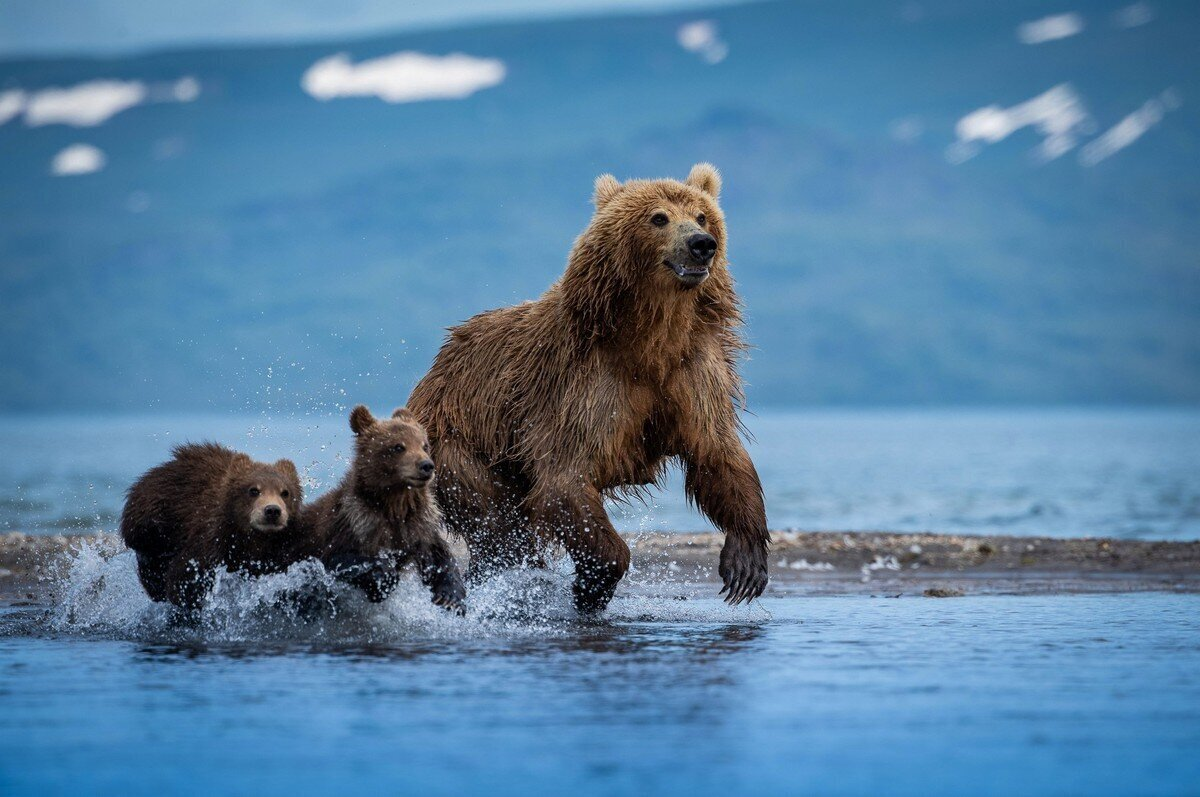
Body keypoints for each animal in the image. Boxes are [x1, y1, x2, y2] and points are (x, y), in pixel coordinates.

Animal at [120, 441, 304, 609]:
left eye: (285, 492)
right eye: (253, 490)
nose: (272, 510)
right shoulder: (210, 540)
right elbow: (185, 577)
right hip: (151, 523)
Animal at [298, 405, 463, 609]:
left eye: (425, 445)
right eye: (398, 446)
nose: (426, 465)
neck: (395, 505)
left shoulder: (419, 526)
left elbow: (439, 555)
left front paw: (450, 597)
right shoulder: (353, 524)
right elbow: (340, 559)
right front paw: (384, 576)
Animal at [410, 160, 768, 609]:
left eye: (702, 215)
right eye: (659, 217)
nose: (702, 244)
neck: (651, 337)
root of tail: (435, 368)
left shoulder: (692, 371)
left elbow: (717, 452)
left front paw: (745, 563)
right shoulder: (585, 386)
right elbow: (565, 478)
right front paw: (592, 584)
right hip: (458, 442)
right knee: (496, 523)